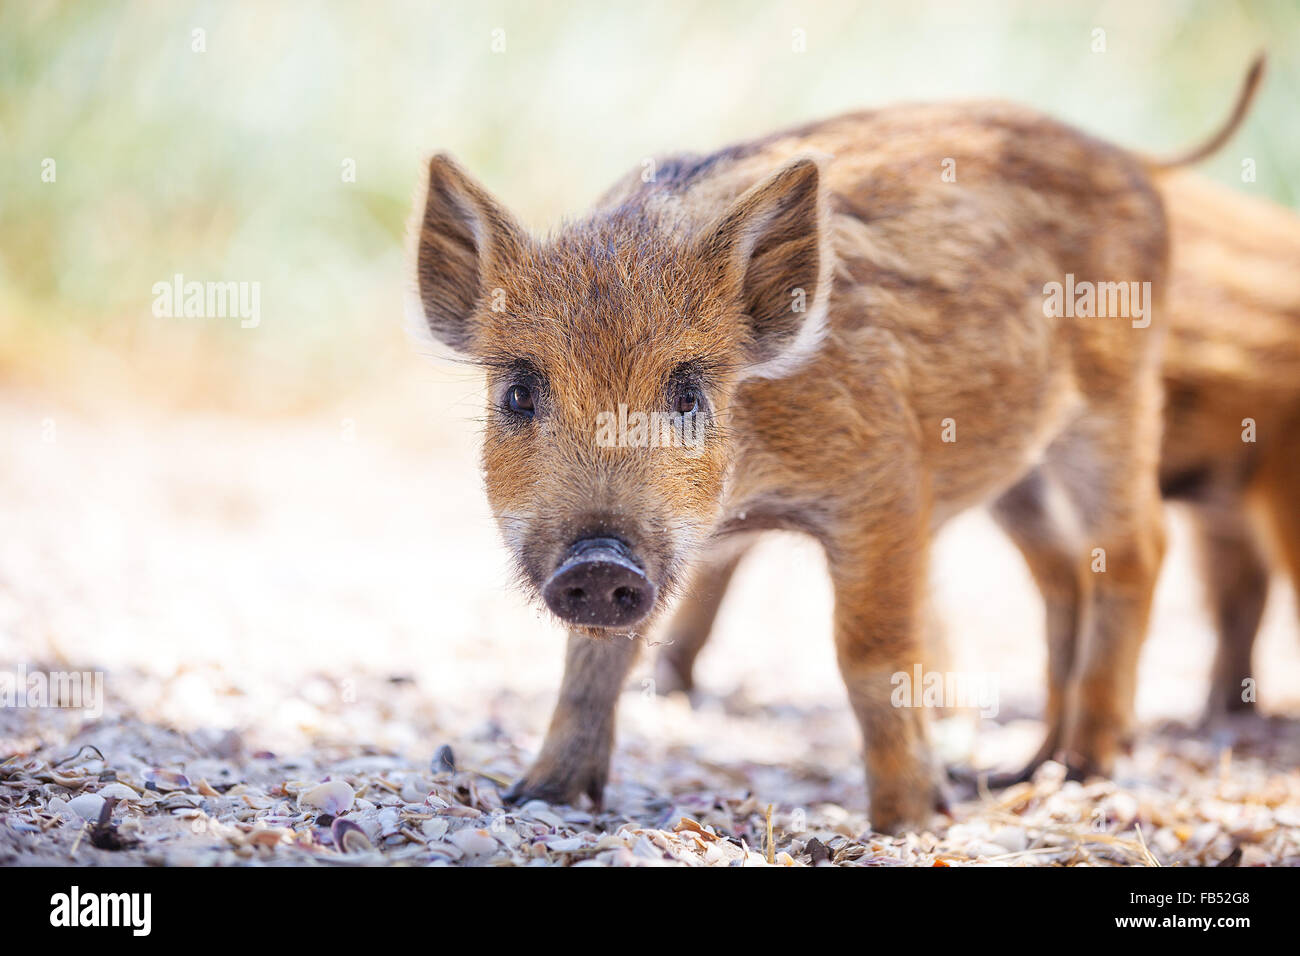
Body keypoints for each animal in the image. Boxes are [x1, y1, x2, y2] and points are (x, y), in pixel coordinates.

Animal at [409, 65, 1256, 830]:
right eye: (519, 393)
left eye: (689, 395)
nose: (598, 563)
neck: (750, 486)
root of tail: (1131, 158)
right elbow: (595, 656)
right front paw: (535, 797)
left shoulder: (883, 486)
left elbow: (870, 655)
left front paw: (909, 822)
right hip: (1022, 469)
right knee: (1064, 570)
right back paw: (1027, 769)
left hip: (1118, 403)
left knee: (1136, 549)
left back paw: (1079, 772)